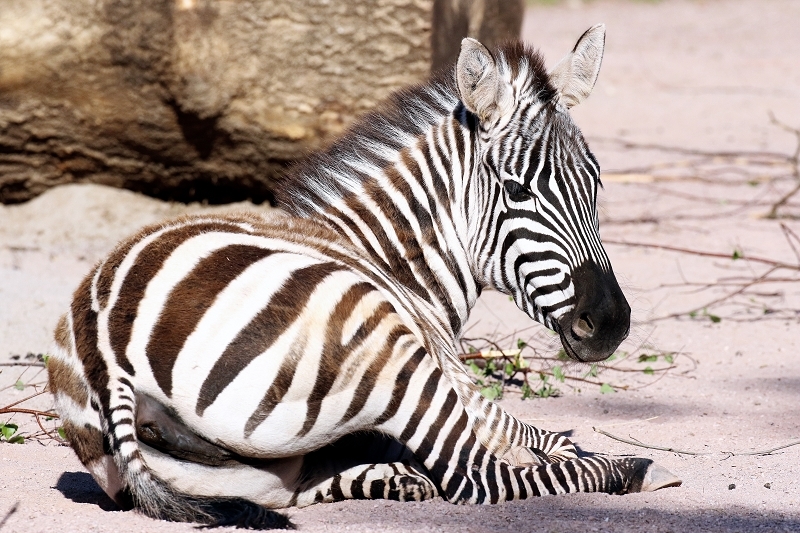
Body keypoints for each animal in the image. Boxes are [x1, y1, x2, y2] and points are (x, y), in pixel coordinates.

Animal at [48, 25, 681, 529]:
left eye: (596, 184)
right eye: (517, 190)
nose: (610, 324)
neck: (389, 257)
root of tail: (106, 350)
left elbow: (546, 440)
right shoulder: (454, 378)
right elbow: (545, 440)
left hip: (259, 475)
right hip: (387, 351)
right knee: (479, 478)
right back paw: (635, 468)